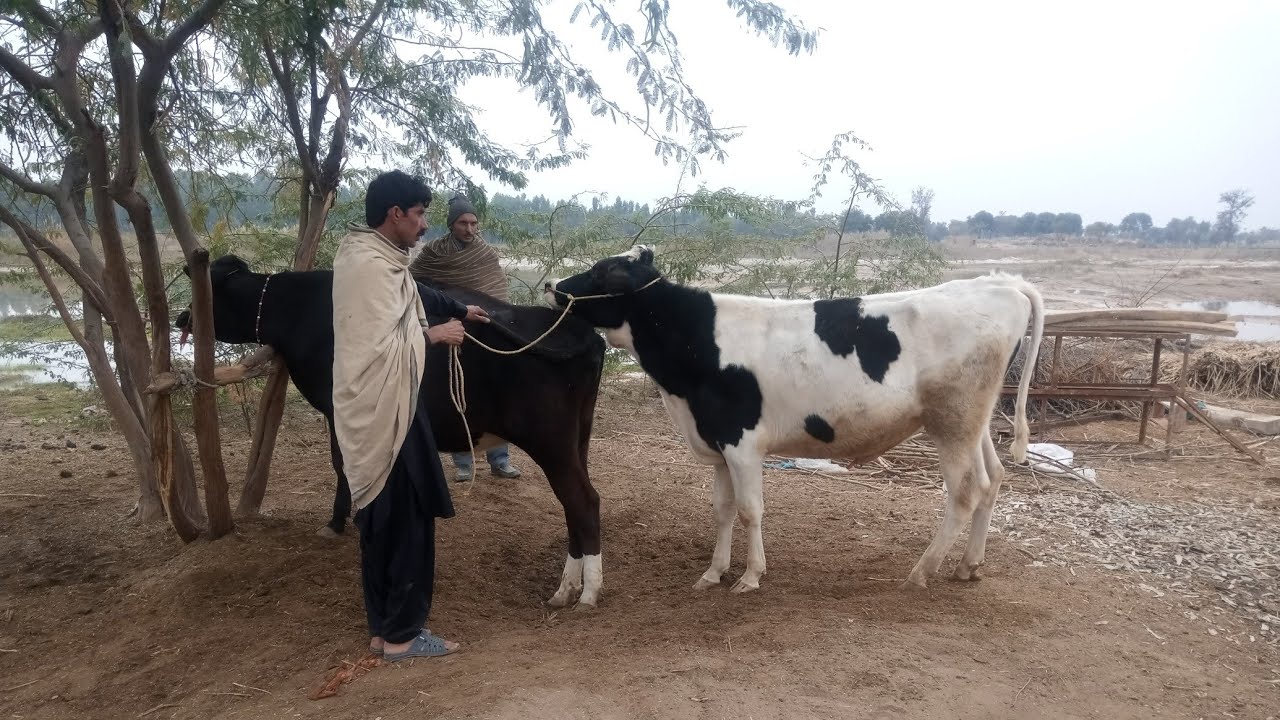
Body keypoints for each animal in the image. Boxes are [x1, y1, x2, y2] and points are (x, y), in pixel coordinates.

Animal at [175, 254, 609, 609]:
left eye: (207, 289)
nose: (181, 319)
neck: (303, 311)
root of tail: (583, 332)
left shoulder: (338, 407)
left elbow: (342, 464)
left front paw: (339, 522)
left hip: (549, 438)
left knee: (584, 500)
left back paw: (585, 592)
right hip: (577, 438)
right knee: (574, 503)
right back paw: (569, 586)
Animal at [549, 245, 1044, 593]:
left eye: (599, 273)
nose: (554, 285)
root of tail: (999, 284)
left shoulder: (743, 442)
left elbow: (750, 510)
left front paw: (751, 576)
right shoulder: (717, 443)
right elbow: (722, 509)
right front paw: (713, 572)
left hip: (953, 422)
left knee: (965, 492)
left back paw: (922, 571)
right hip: (974, 423)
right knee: (992, 479)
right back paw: (968, 565)